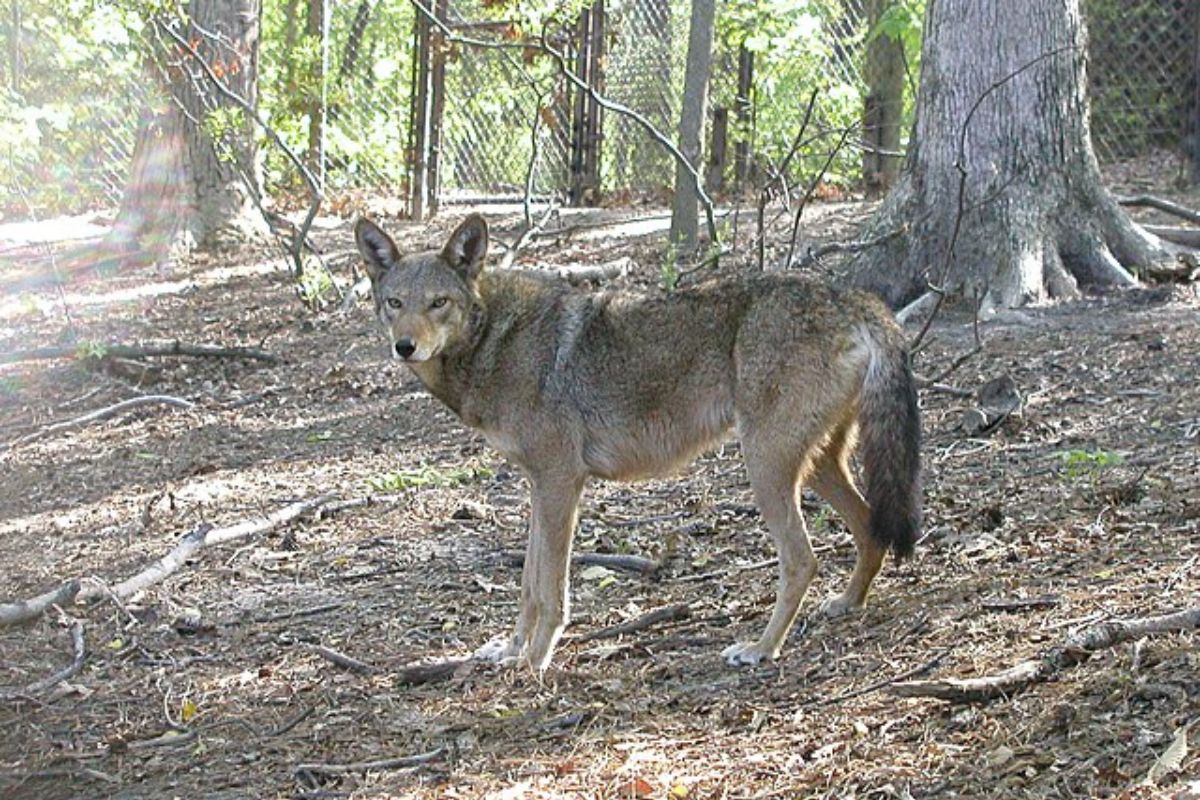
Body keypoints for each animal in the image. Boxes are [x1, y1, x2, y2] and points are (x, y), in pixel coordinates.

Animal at [355, 213, 921, 670]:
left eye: (438, 303)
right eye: (395, 303)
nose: (404, 346)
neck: (495, 338)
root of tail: (853, 297)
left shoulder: (561, 482)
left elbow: (551, 589)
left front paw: (536, 661)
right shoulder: (540, 486)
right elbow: (529, 584)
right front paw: (512, 650)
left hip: (765, 466)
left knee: (804, 559)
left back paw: (761, 648)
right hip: (815, 466)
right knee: (870, 529)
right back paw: (847, 605)